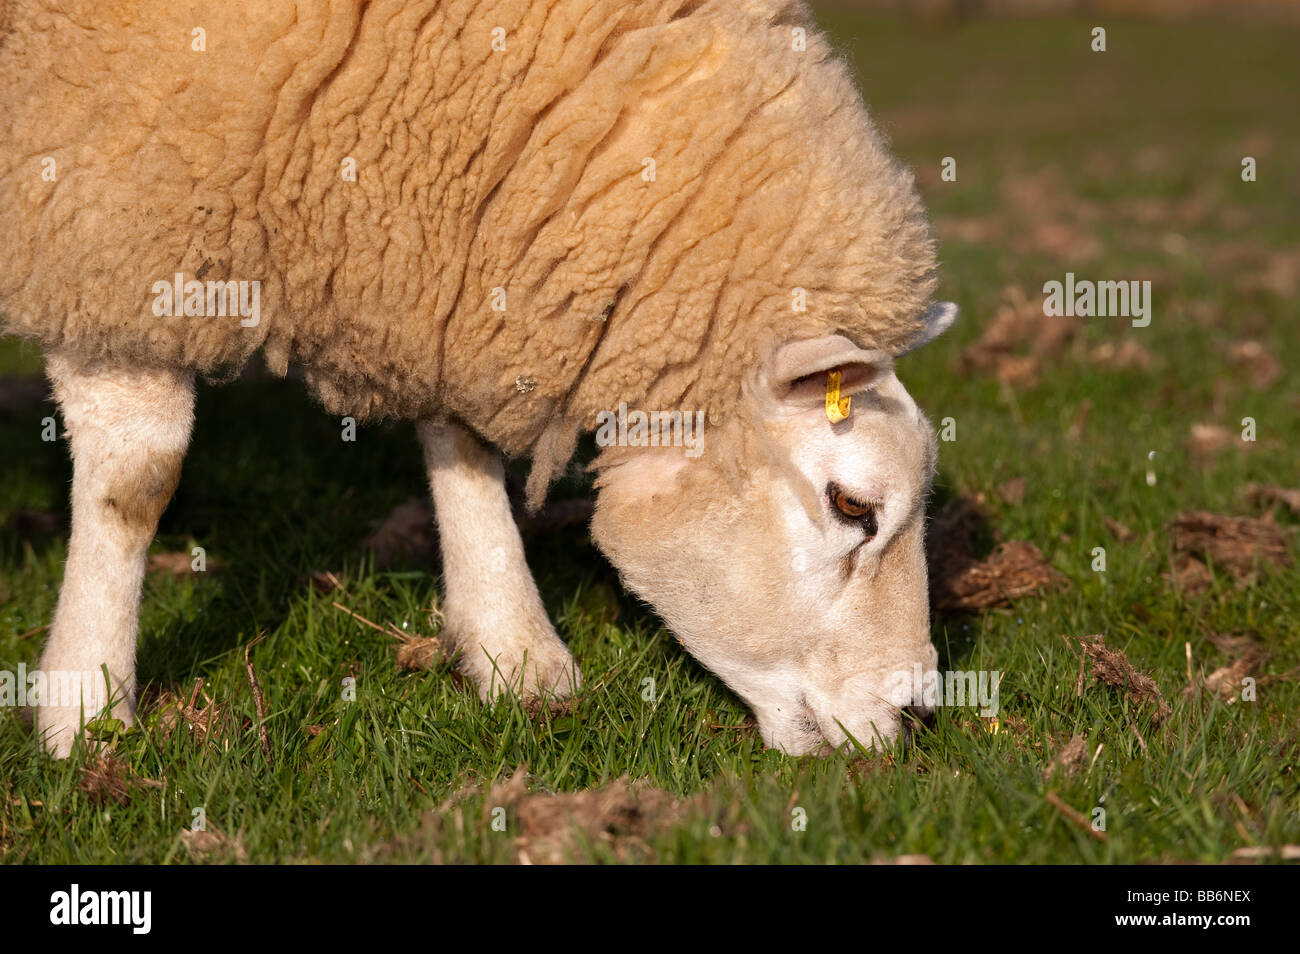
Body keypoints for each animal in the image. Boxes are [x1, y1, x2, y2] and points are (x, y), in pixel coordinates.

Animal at [0, 0, 956, 757]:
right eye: (852, 505)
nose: (916, 714)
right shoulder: (107, 220)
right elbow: (138, 480)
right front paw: (84, 710)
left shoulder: (435, 260)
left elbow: (461, 441)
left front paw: (515, 651)